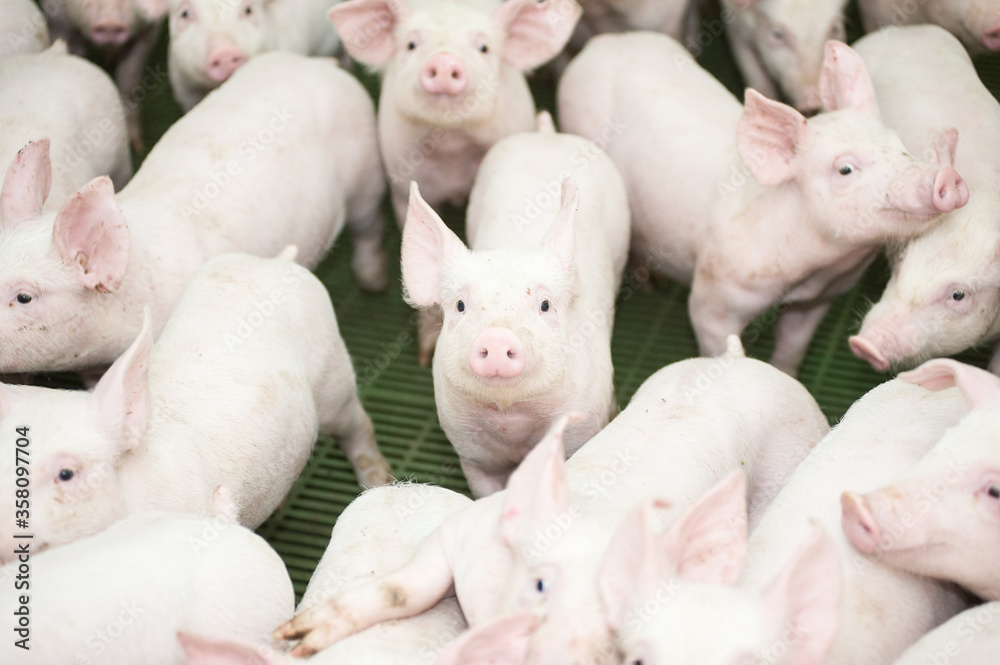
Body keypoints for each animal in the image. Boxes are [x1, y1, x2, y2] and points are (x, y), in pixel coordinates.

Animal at [400, 121, 630, 496]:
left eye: (545, 304)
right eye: (460, 305)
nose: (496, 337)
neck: (513, 421)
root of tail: (546, 134)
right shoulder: (472, 455)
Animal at [558, 33, 967, 376]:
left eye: (900, 146)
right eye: (845, 168)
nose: (946, 178)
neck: (811, 270)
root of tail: (602, 42)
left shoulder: (818, 299)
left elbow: (793, 344)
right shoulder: (713, 296)